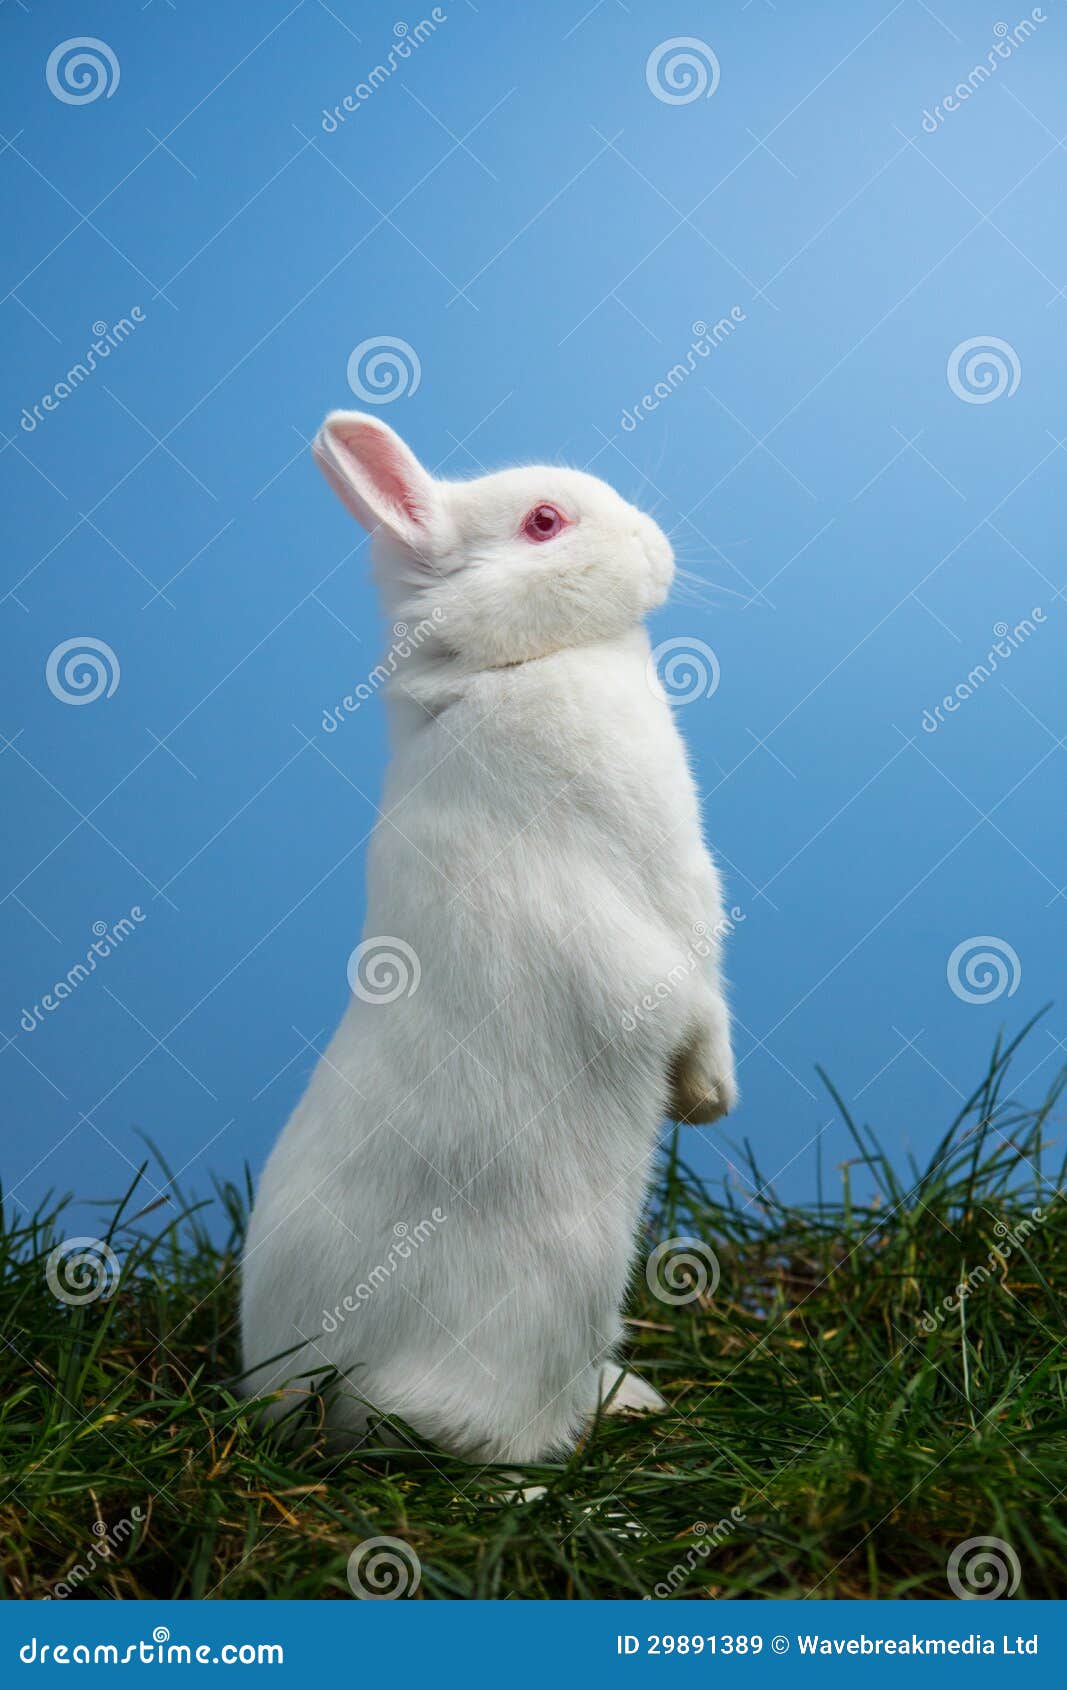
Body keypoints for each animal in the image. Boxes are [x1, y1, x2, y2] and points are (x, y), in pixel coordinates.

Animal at [239, 411, 737, 1465]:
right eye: (544, 521)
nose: (657, 547)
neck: (503, 670)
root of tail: (292, 1395)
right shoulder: (661, 921)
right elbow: (695, 1003)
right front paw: (710, 1097)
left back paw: (630, 1399)